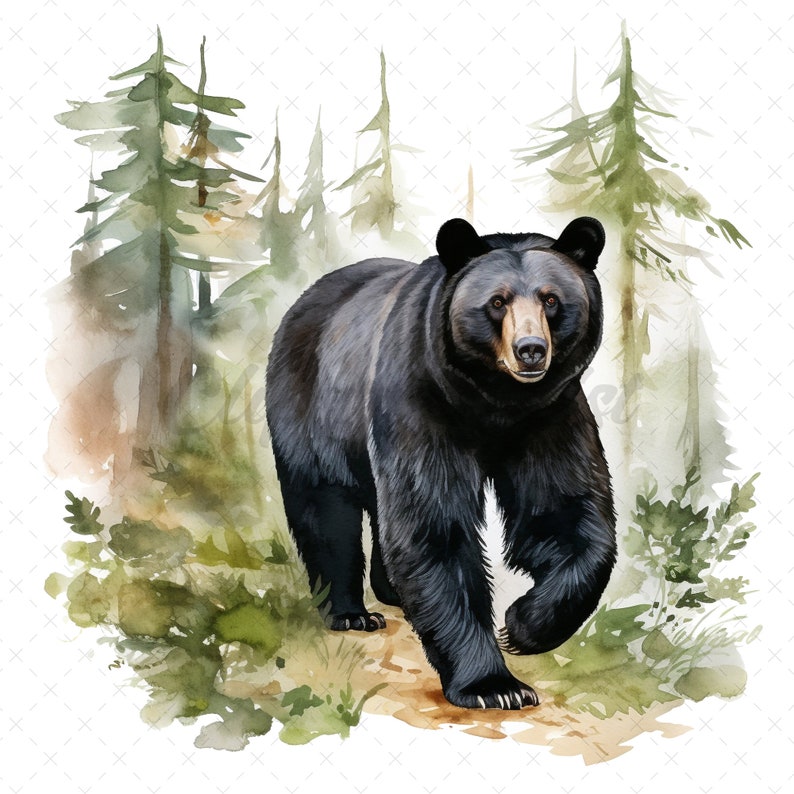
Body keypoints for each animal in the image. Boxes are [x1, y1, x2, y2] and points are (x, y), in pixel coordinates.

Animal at [265, 216, 616, 710]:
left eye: (551, 299)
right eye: (497, 301)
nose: (530, 349)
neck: (495, 402)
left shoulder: (550, 414)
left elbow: (564, 513)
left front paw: (522, 626)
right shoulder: (419, 395)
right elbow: (435, 525)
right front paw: (495, 685)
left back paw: (390, 591)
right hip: (314, 409)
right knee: (325, 510)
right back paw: (351, 613)